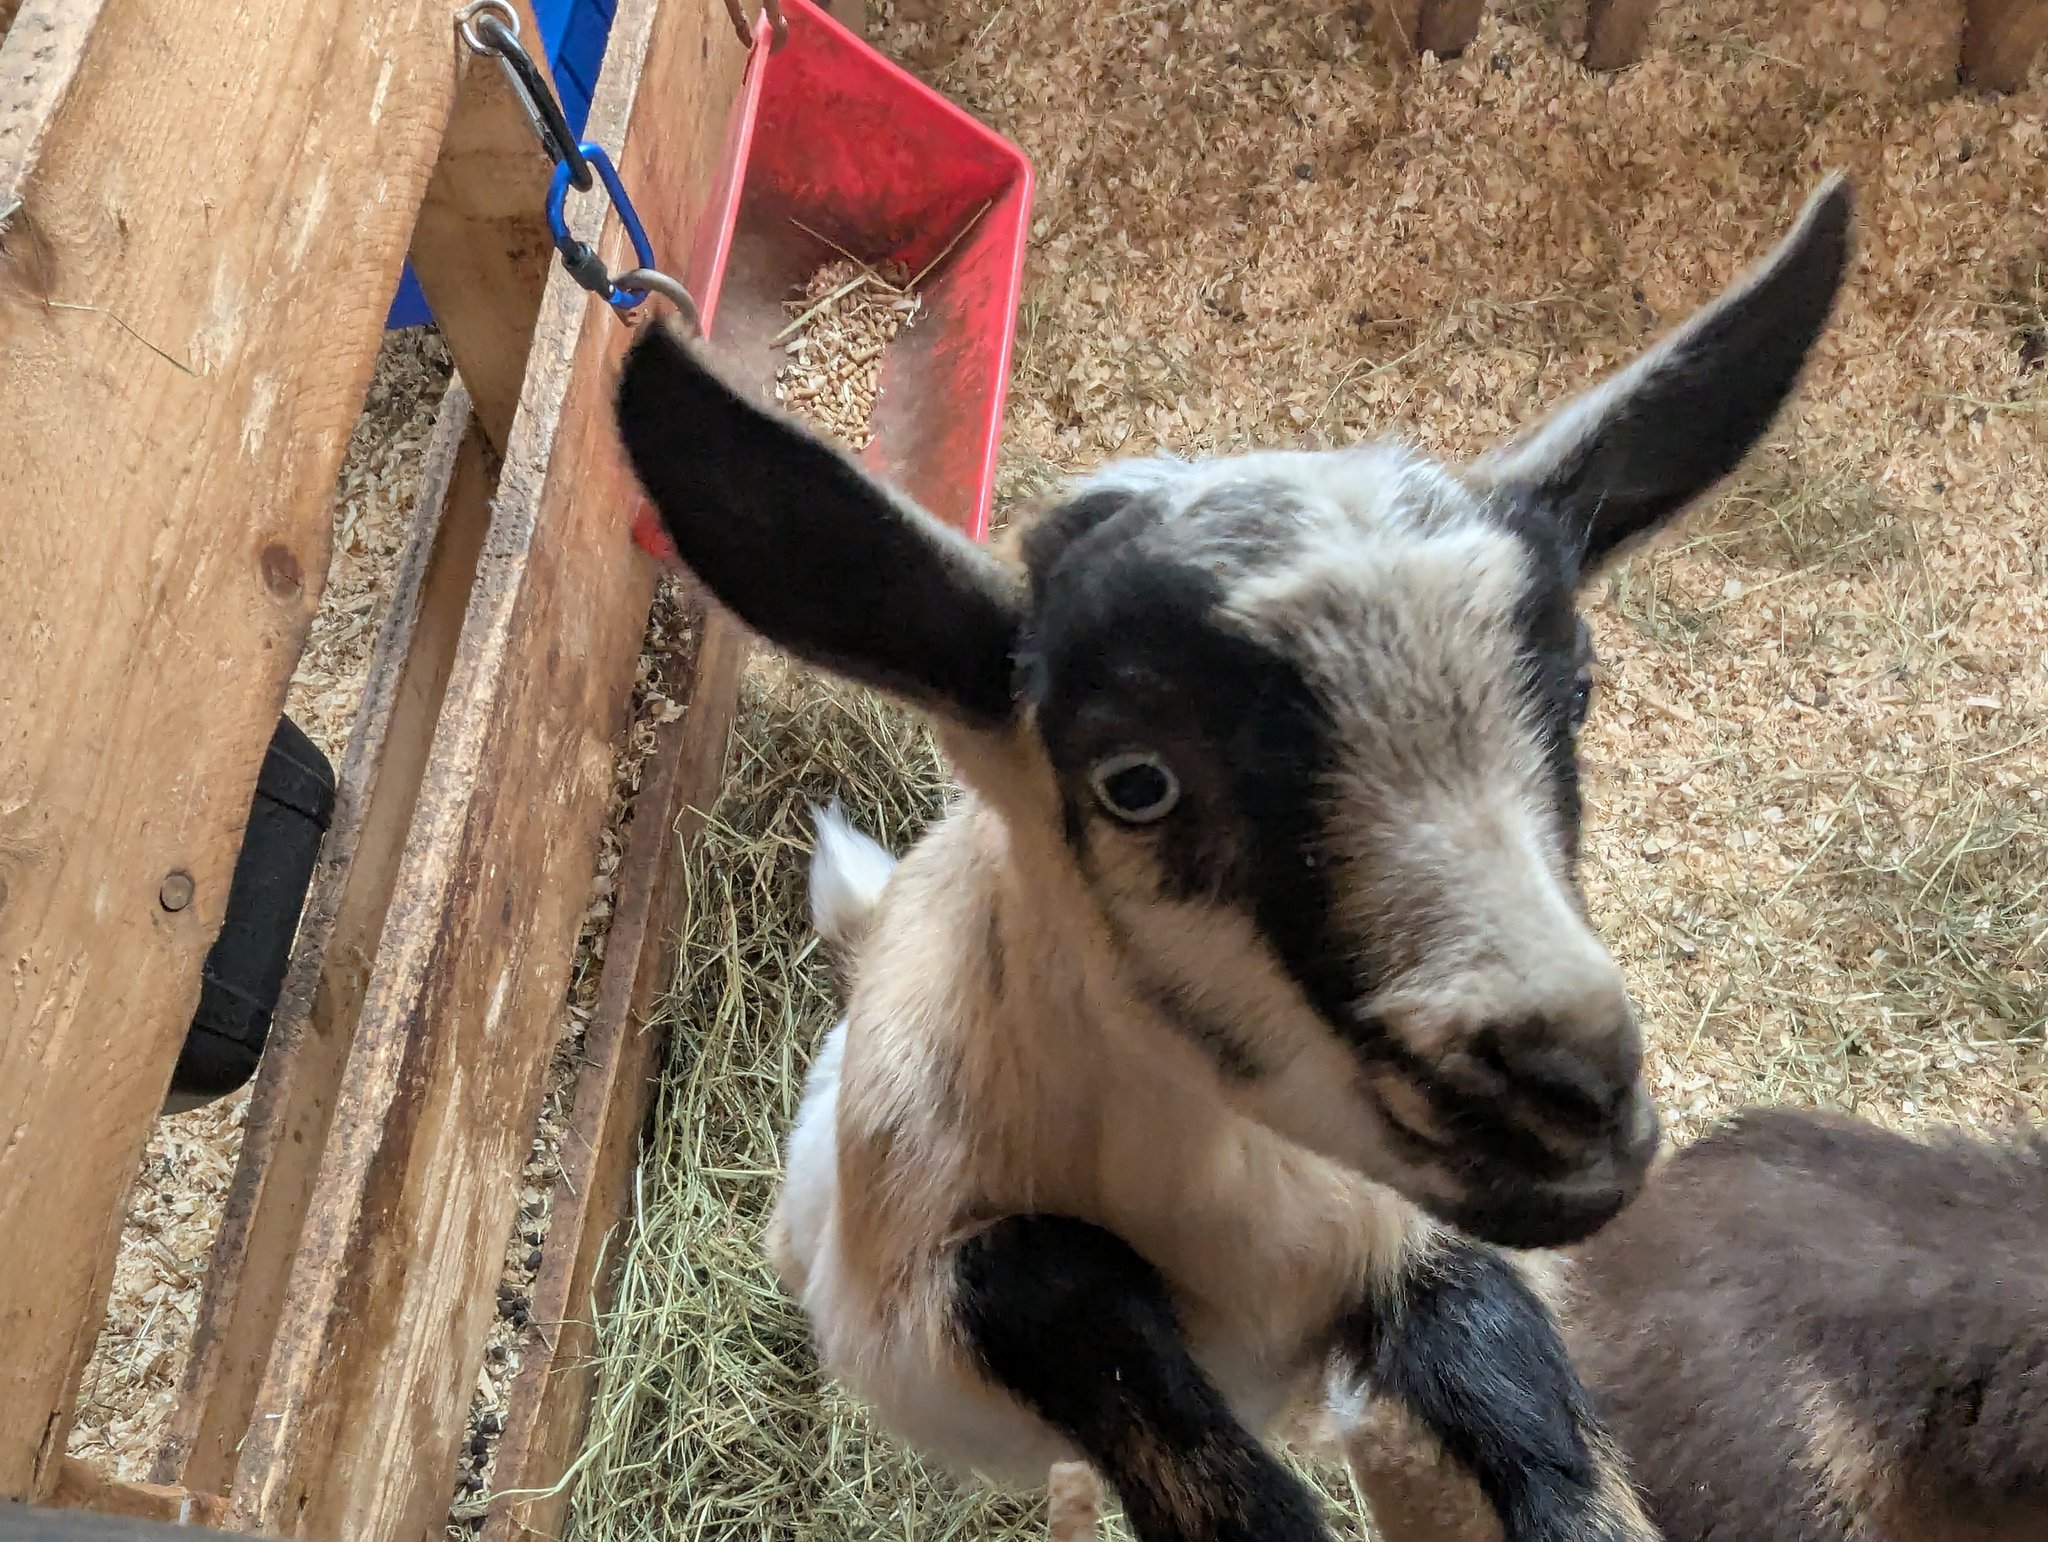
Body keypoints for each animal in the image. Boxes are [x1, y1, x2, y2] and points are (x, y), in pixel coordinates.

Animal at [611, 175, 1854, 1542]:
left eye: (1575, 691)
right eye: (1133, 782)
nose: (1567, 1105)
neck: (1214, 1196)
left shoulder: (1404, 1236)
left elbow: (1498, 1371)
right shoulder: (913, 1303)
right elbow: (1067, 1303)